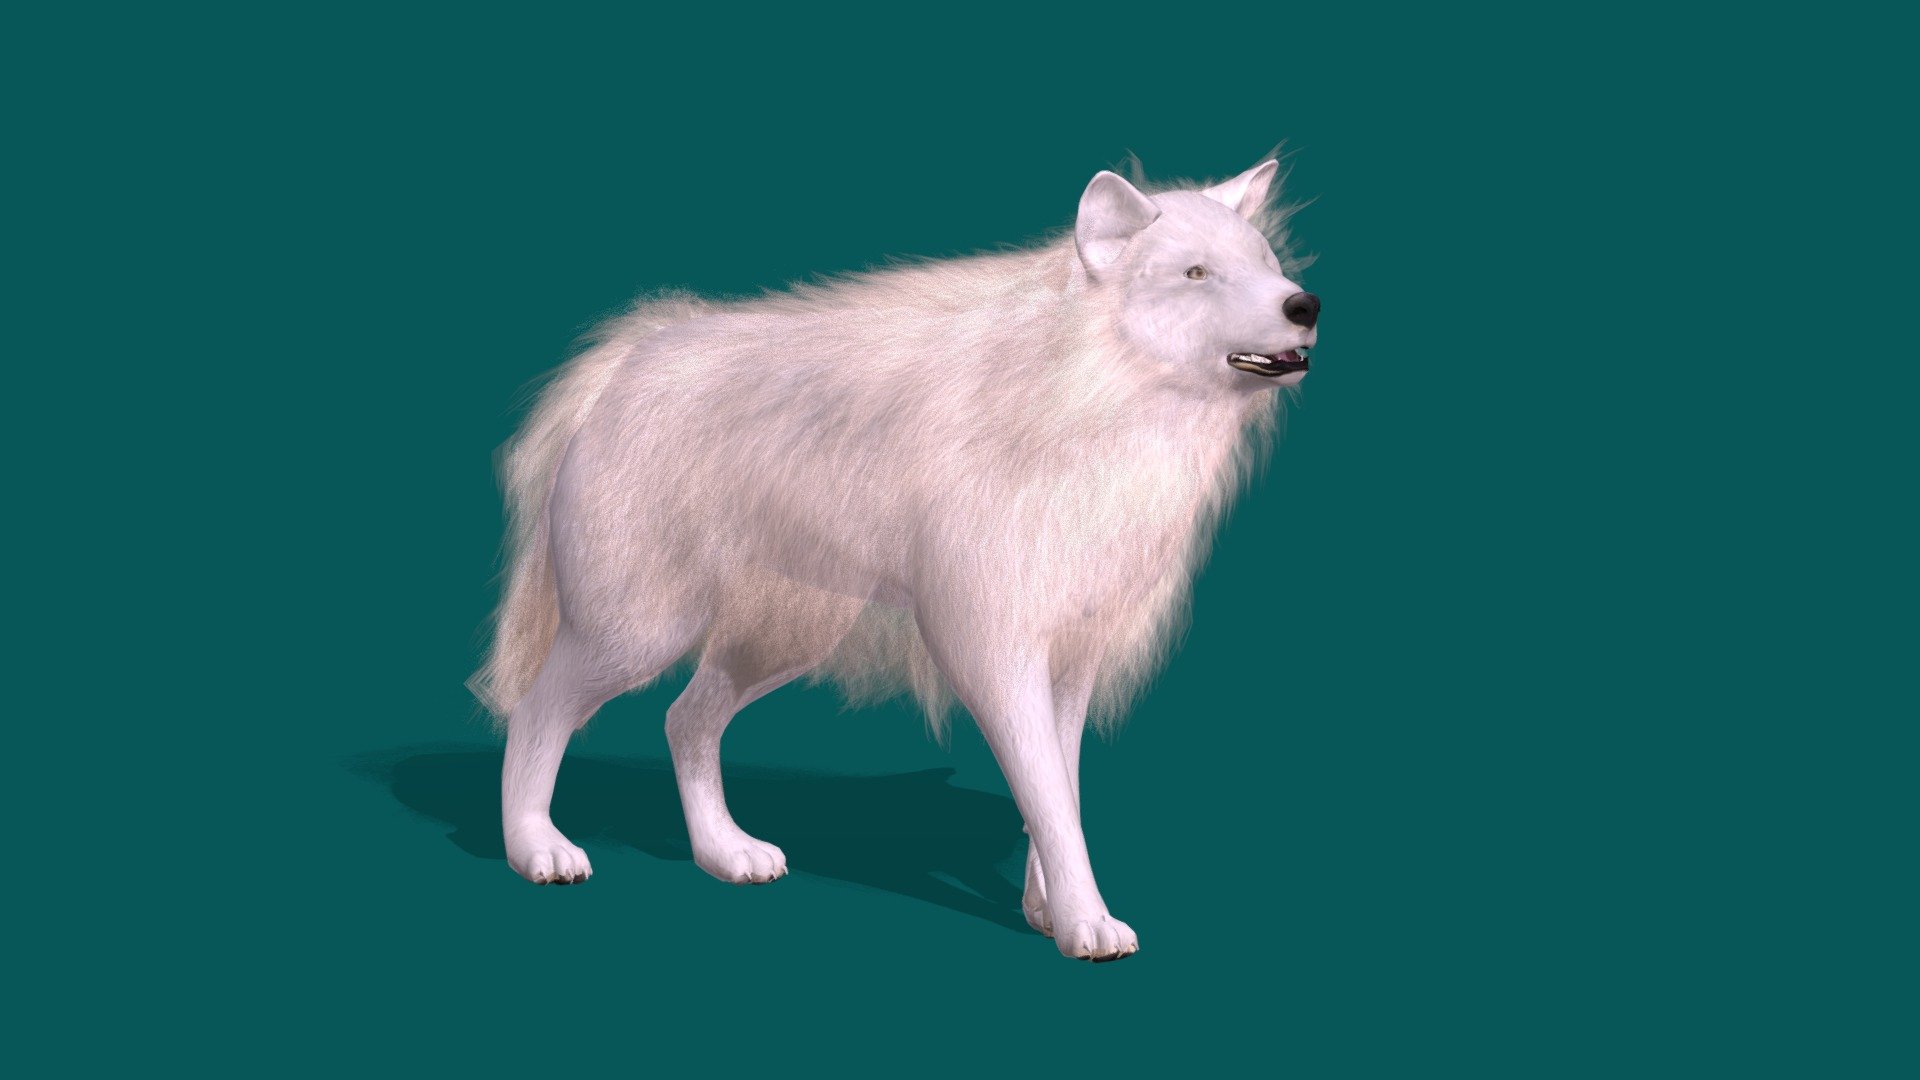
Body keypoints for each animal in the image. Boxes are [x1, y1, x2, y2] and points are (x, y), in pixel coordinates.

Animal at [469, 157, 1320, 961]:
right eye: (1197, 274)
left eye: (1266, 262)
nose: (1305, 306)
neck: (1085, 405)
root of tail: (624, 362)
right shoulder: (993, 654)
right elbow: (1049, 798)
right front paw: (1087, 925)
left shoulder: (1072, 660)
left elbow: (1063, 793)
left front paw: (1046, 913)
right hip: (638, 630)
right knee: (536, 715)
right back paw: (537, 850)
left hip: (776, 642)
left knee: (685, 721)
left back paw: (725, 853)